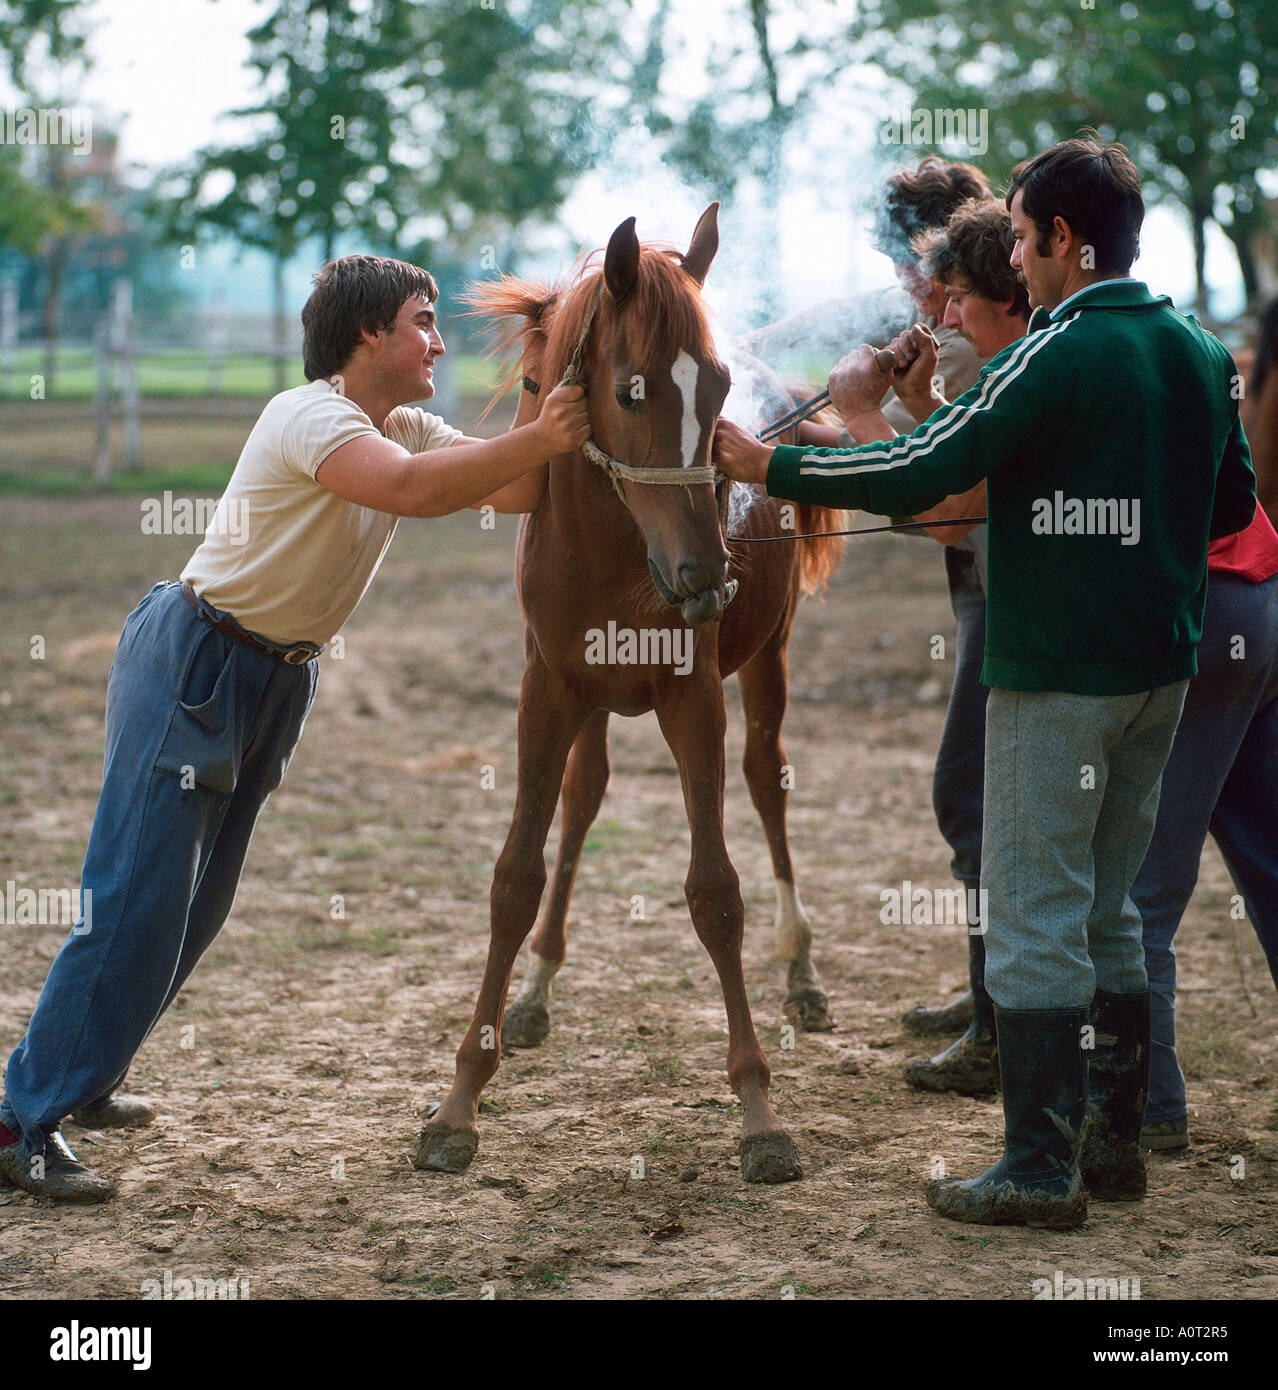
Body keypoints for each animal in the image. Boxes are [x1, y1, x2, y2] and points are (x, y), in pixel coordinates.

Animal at [413, 204, 846, 1183]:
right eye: (632, 390)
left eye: (717, 385)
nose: (705, 576)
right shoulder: (546, 691)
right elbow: (516, 876)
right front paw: (460, 1100)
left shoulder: (695, 699)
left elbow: (715, 892)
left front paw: (759, 1112)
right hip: (596, 704)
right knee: (585, 800)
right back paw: (537, 992)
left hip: (766, 664)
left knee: (768, 784)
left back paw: (801, 972)